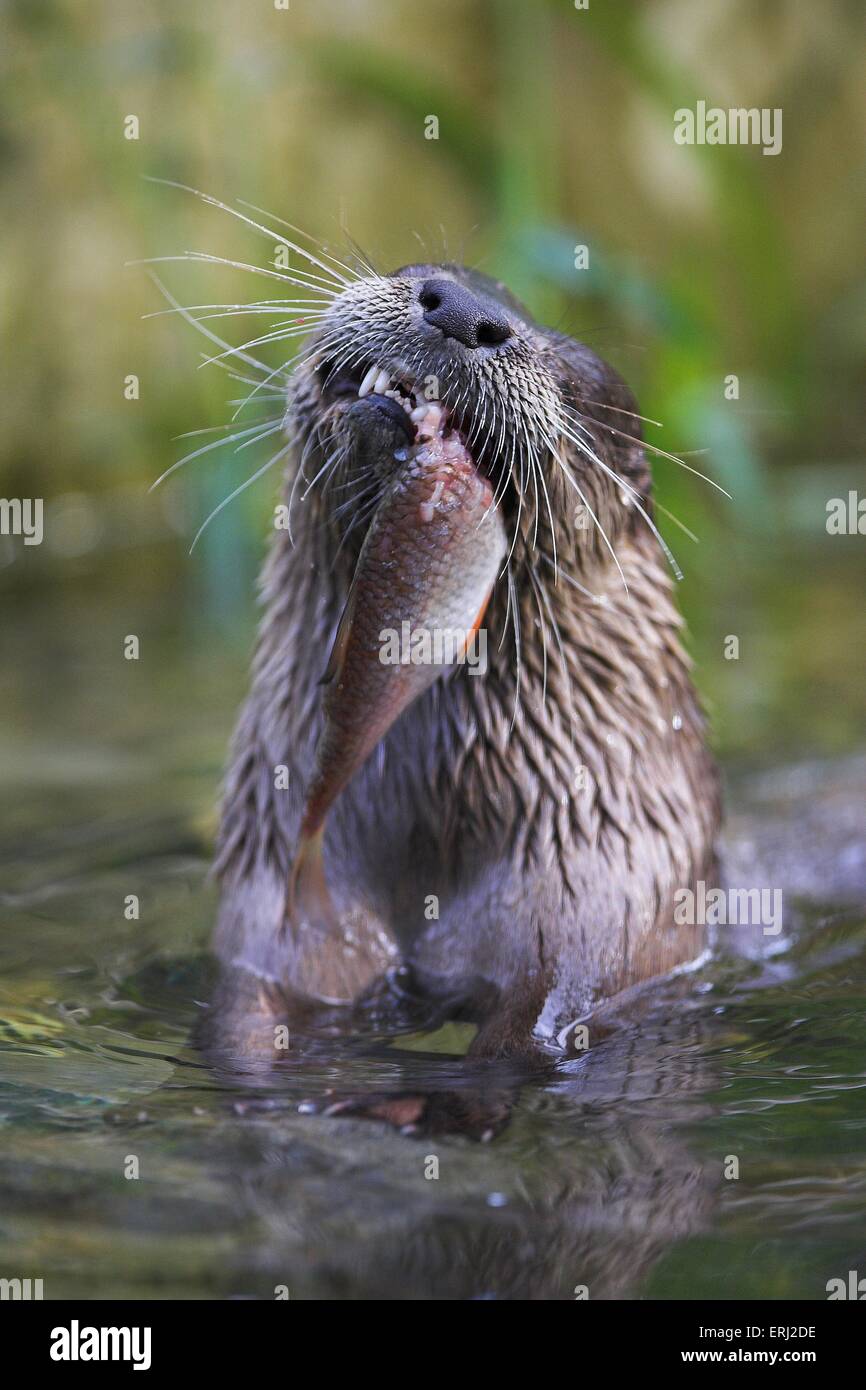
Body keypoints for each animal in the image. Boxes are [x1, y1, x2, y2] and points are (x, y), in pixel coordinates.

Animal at [210, 260, 720, 1103]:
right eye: (426, 272)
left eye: (573, 380)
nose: (463, 310)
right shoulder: (267, 920)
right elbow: (241, 1013)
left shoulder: (604, 916)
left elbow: (535, 1030)